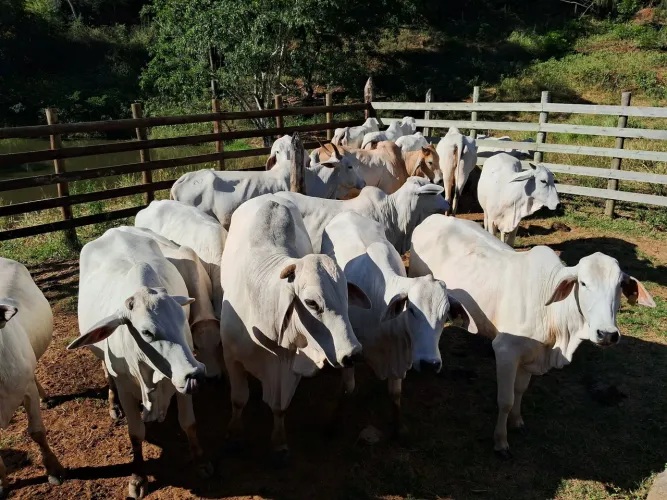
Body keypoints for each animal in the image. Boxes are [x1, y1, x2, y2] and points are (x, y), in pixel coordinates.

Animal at [68, 228, 212, 499]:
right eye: (146, 332)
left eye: (182, 319)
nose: (195, 373)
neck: (150, 375)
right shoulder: (126, 386)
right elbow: (135, 433)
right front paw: (138, 477)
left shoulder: (180, 382)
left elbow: (188, 423)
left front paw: (200, 462)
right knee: (106, 373)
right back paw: (113, 405)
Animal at [219, 194, 370, 462]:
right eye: (311, 303)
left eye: (346, 297)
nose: (352, 354)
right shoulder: (231, 356)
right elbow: (238, 400)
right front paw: (234, 435)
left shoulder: (286, 365)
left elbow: (279, 407)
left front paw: (279, 444)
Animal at [321, 212, 471, 438]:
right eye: (412, 310)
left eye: (445, 316)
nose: (430, 364)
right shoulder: (350, 352)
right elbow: (348, 387)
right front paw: (332, 423)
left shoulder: (399, 361)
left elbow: (395, 394)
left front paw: (399, 429)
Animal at [408, 215, 656, 457]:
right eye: (583, 283)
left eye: (620, 285)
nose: (607, 334)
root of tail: (430, 219)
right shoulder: (506, 351)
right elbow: (505, 400)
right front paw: (501, 441)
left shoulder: (530, 355)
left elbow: (520, 390)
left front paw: (517, 421)